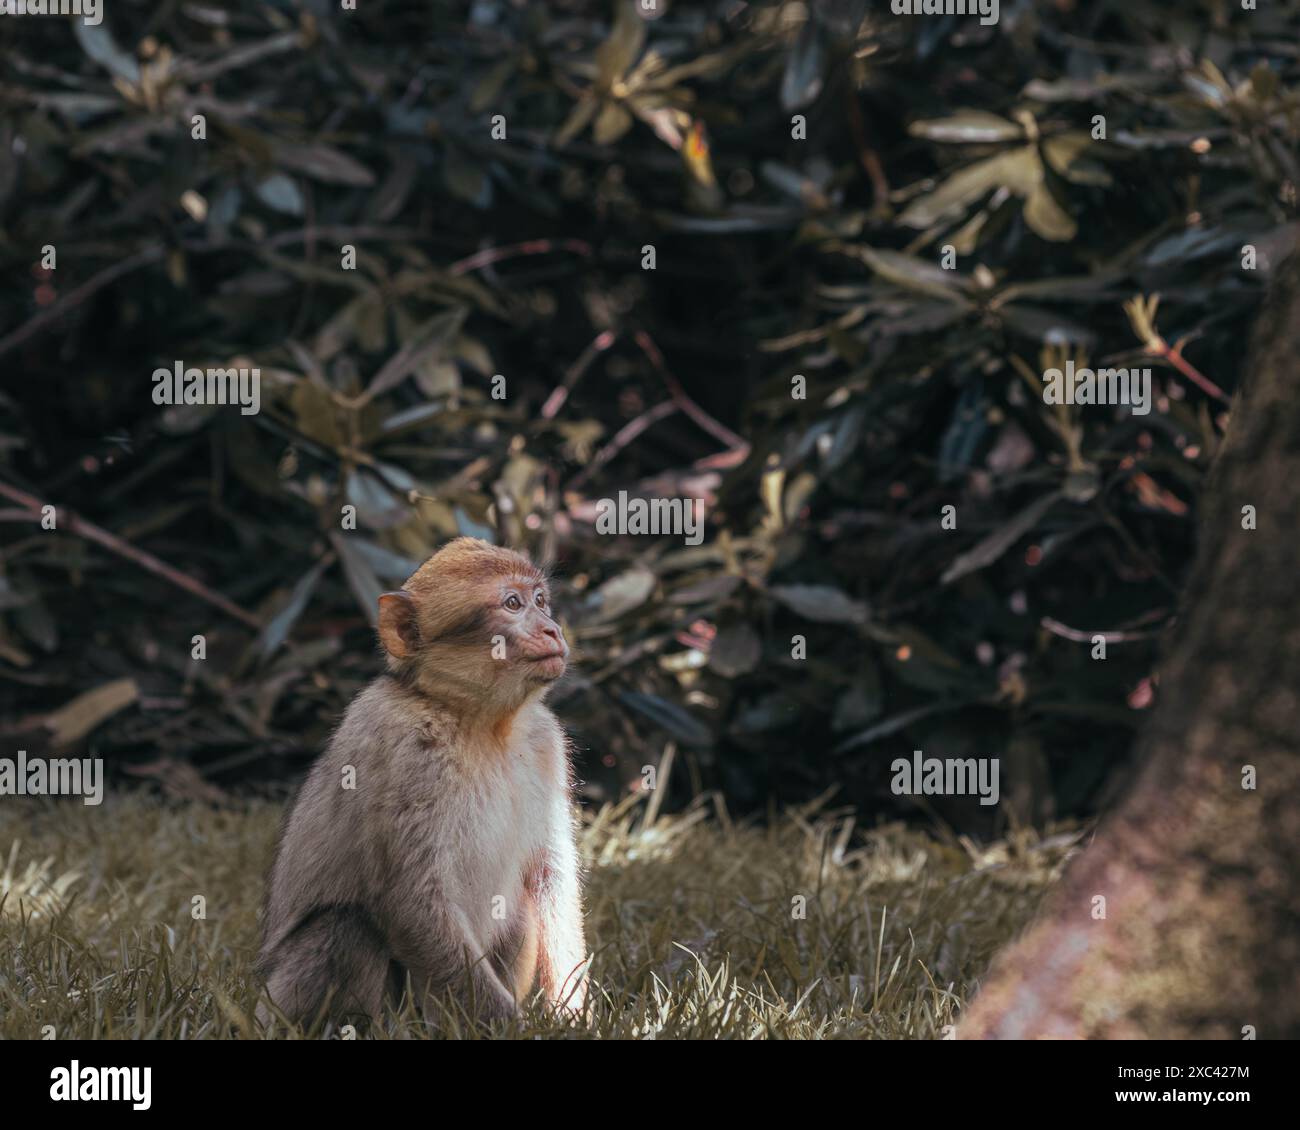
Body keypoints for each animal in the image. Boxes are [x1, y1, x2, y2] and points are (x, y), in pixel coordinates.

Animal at [255, 537, 587, 1031]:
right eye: (513, 604)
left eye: (541, 600)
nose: (552, 629)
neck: (480, 723)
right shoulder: (404, 749)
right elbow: (412, 900)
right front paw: (516, 1030)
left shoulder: (545, 742)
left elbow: (550, 873)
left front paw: (572, 1014)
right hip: (279, 1001)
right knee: (346, 927)